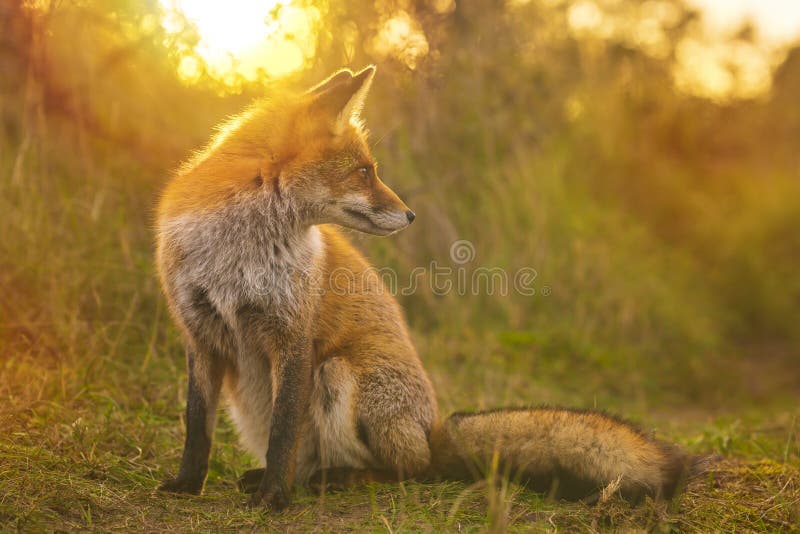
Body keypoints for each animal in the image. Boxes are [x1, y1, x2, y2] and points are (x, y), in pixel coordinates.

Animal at [155, 66, 695, 510]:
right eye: (365, 172)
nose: (411, 214)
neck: (240, 247)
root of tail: (432, 433)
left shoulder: (293, 337)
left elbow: (283, 432)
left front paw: (273, 498)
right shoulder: (198, 334)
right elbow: (197, 428)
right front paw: (187, 486)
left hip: (340, 372)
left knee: (404, 472)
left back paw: (334, 479)